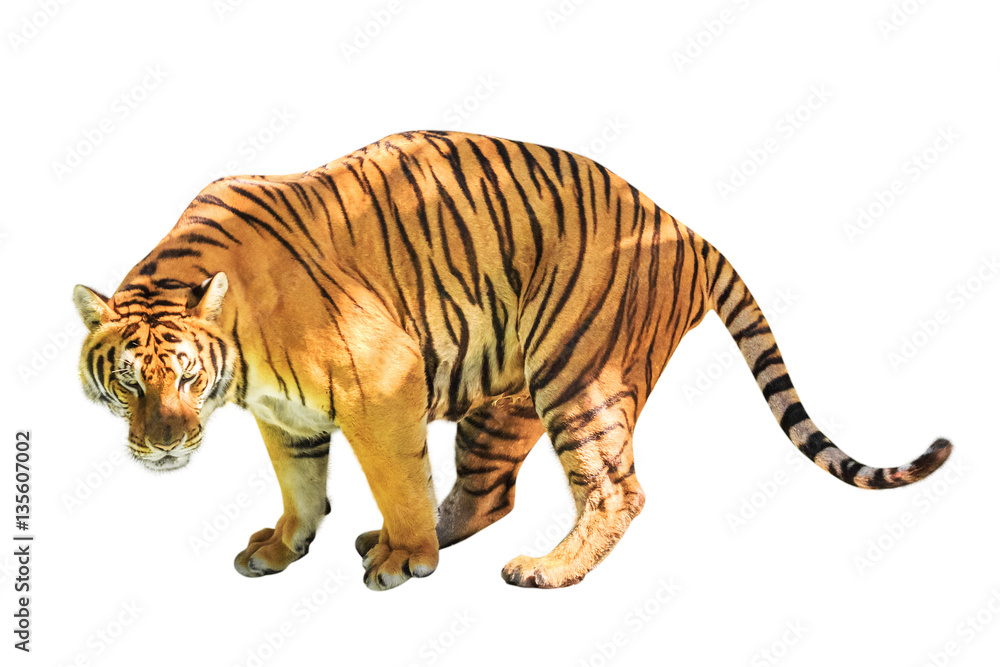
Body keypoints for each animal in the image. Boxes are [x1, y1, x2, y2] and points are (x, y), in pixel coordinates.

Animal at [74, 130, 953, 590]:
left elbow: (395, 475)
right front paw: (285, 545)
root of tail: (683, 226)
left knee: (616, 490)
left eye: (188, 376)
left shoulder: (383, 383)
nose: (163, 446)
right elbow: (300, 484)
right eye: (126, 382)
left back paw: (543, 569)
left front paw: (405, 560)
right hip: (507, 397)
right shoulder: (287, 417)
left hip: (581, 376)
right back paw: (428, 535)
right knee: (489, 490)